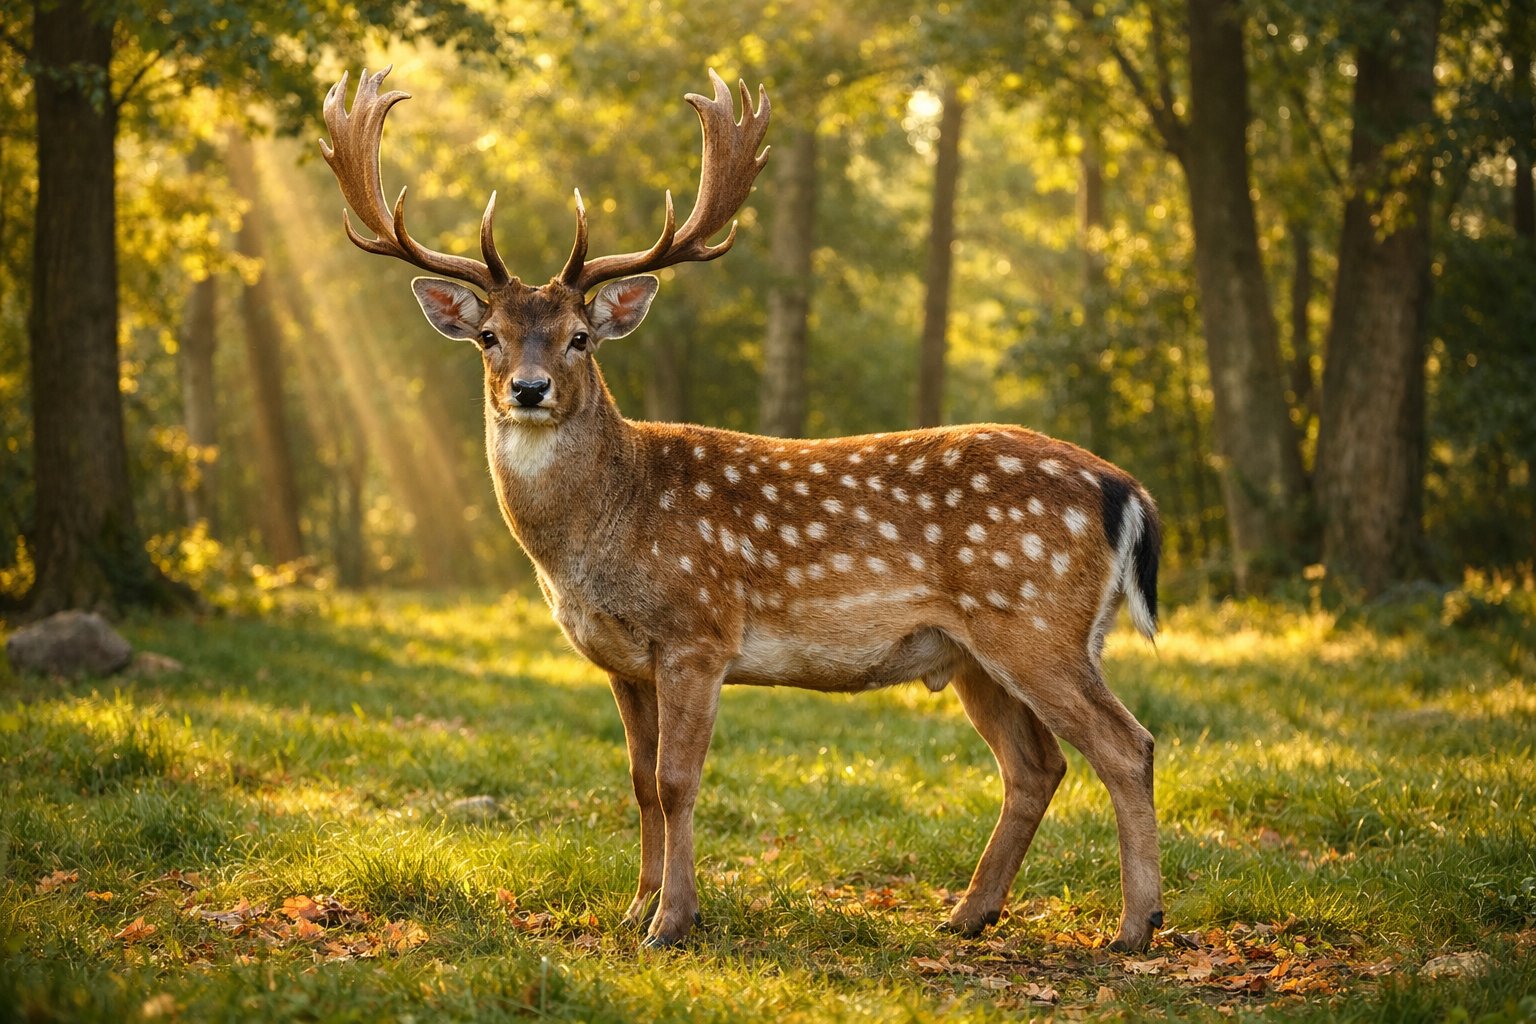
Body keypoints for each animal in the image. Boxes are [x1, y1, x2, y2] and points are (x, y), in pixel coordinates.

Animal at [320, 66, 1165, 952]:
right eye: (489, 335)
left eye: (581, 335)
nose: (529, 388)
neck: (598, 537)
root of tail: (1123, 491)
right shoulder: (623, 660)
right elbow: (639, 781)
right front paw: (634, 908)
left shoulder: (698, 630)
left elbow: (678, 779)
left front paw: (673, 921)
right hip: (972, 653)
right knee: (1037, 765)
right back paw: (969, 913)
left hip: (1035, 622)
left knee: (1126, 745)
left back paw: (1135, 925)